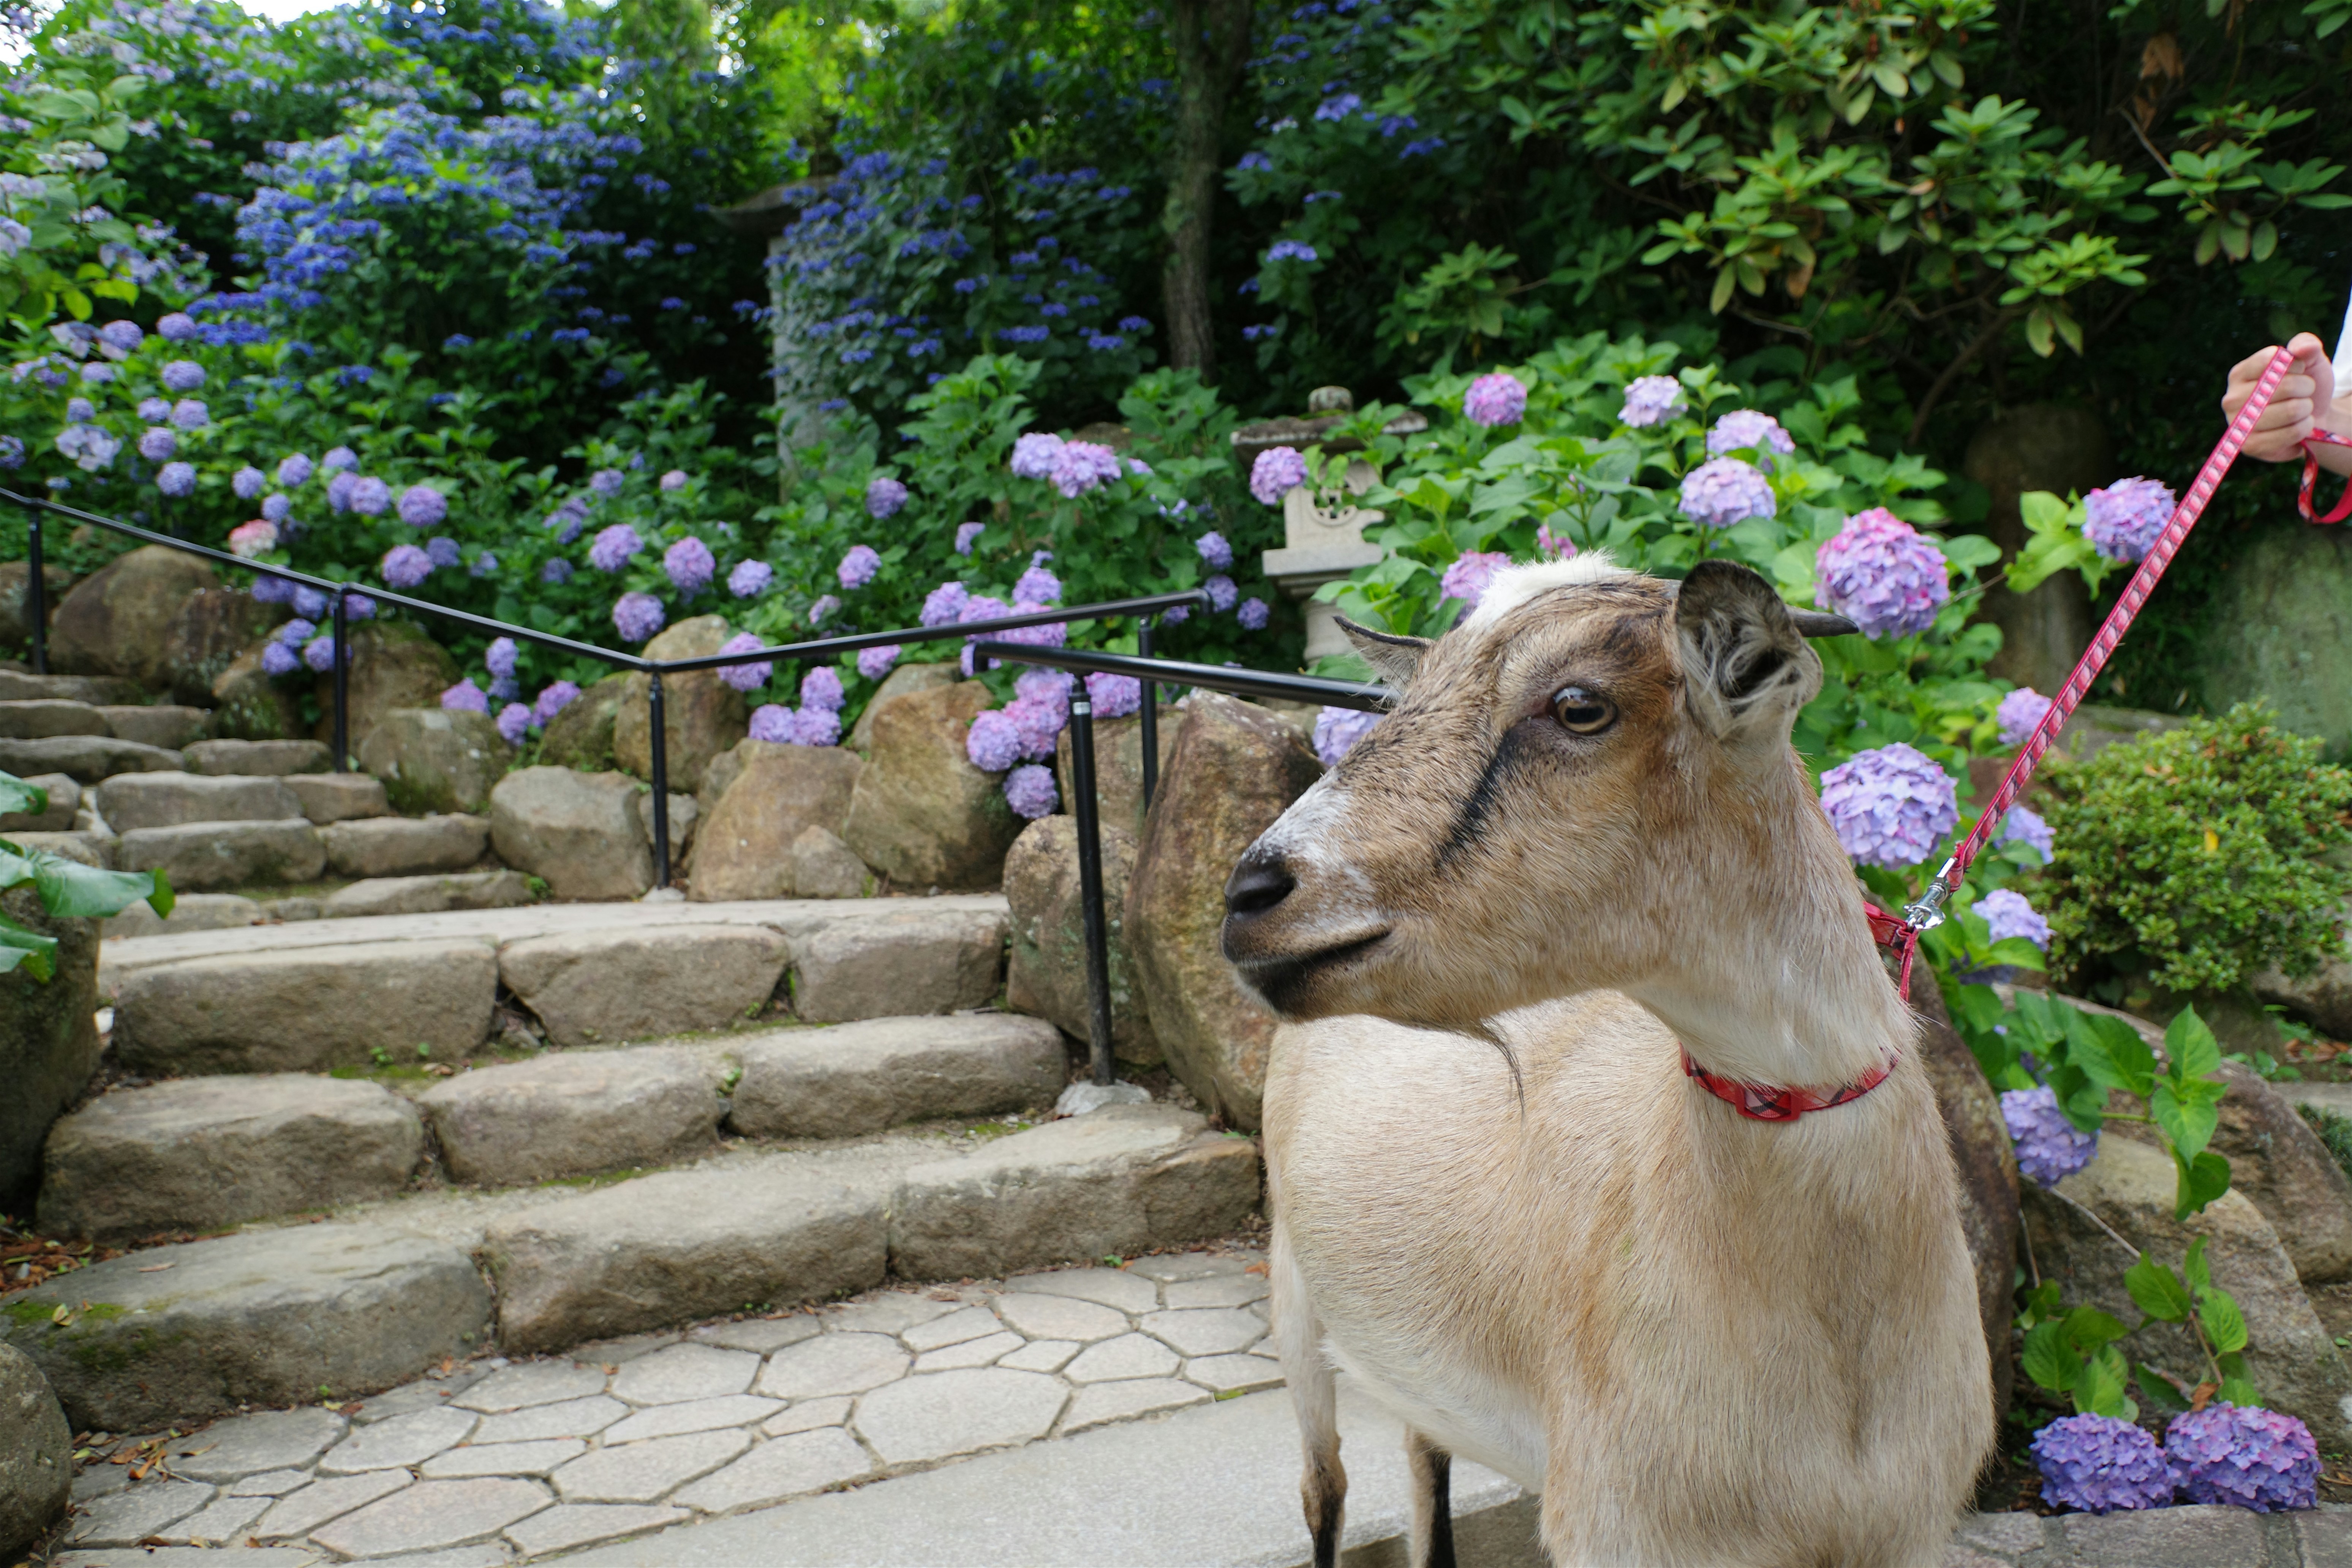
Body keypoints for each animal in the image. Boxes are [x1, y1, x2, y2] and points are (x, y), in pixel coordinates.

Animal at [1220, 556, 1991, 1568]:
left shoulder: (1907, 1531)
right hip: (1293, 1293)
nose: (1251, 892)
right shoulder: (1624, 1525)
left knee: (1424, 1451)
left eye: (1579, 705)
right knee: (1326, 1487)